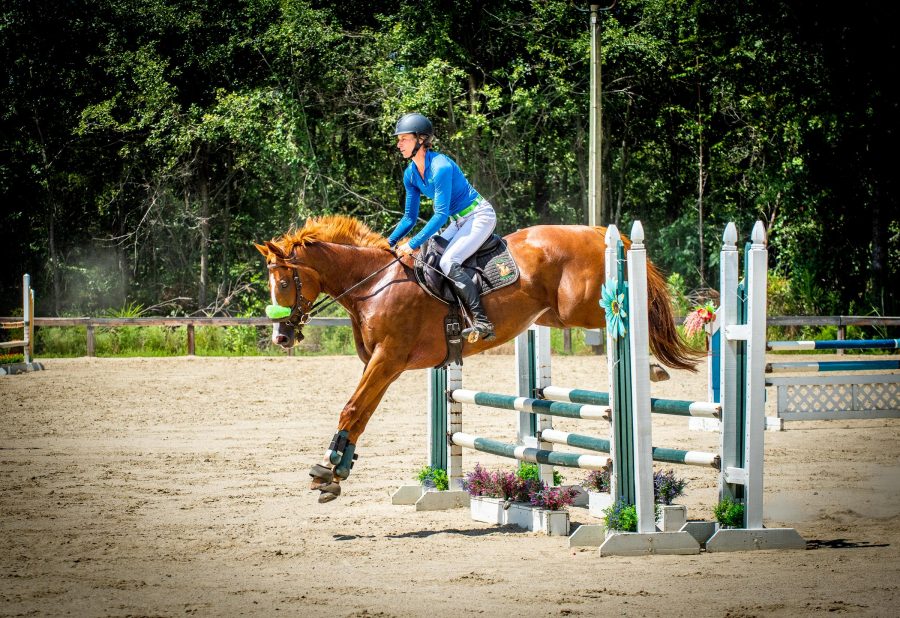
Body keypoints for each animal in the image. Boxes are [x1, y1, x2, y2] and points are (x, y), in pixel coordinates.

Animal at [256, 215, 700, 503]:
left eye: (284, 282)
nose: (281, 337)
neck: (374, 284)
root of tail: (596, 232)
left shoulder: (388, 360)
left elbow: (351, 409)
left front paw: (325, 469)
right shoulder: (380, 365)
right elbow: (359, 414)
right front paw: (337, 471)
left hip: (583, 306)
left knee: (625, 312)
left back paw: (651, 366)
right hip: (552, 315)